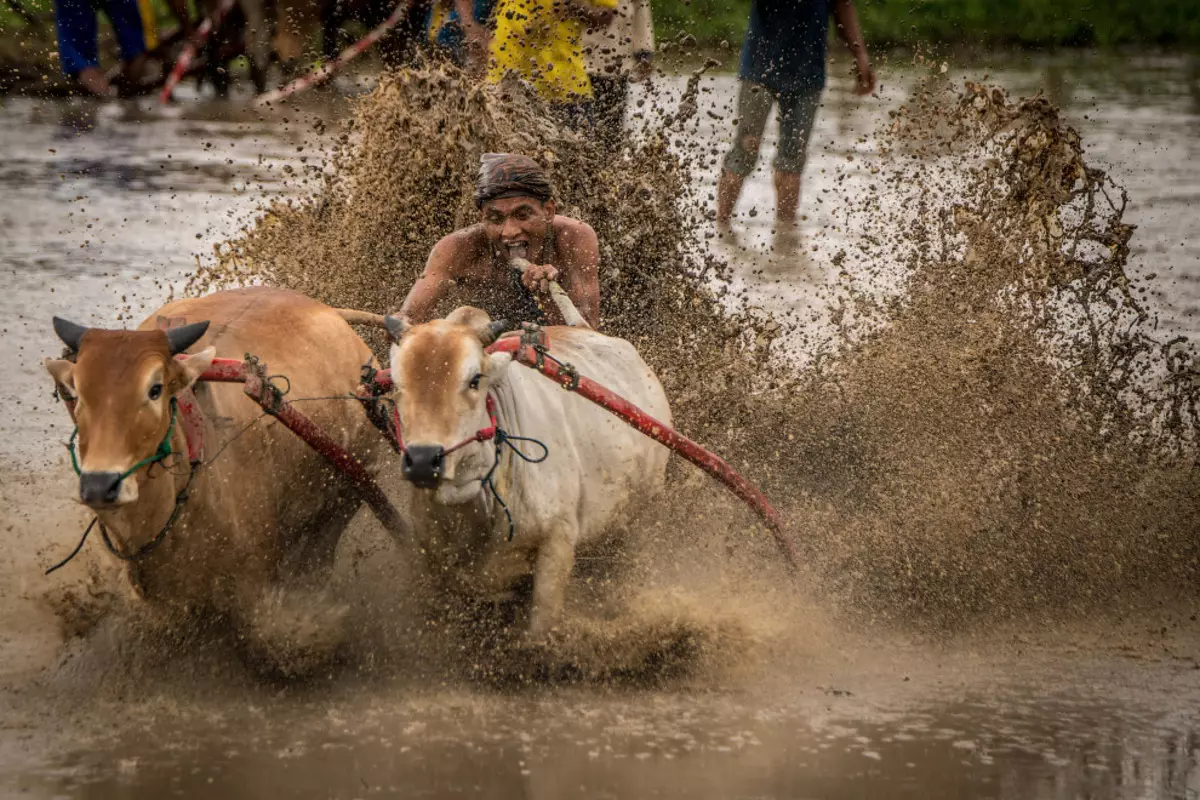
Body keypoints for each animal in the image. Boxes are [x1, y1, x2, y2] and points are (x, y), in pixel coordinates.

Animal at [41, 289, 388, 676]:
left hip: (351, 488)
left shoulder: (258, 573)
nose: (100, 485)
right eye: (76, 393)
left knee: (321, 547)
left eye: (155, 389)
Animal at [384, 309, 672, 638]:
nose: (422, 460)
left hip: (645, 509)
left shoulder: (557, 542)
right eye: (395, 383)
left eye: (474, 380)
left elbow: (540, 631)